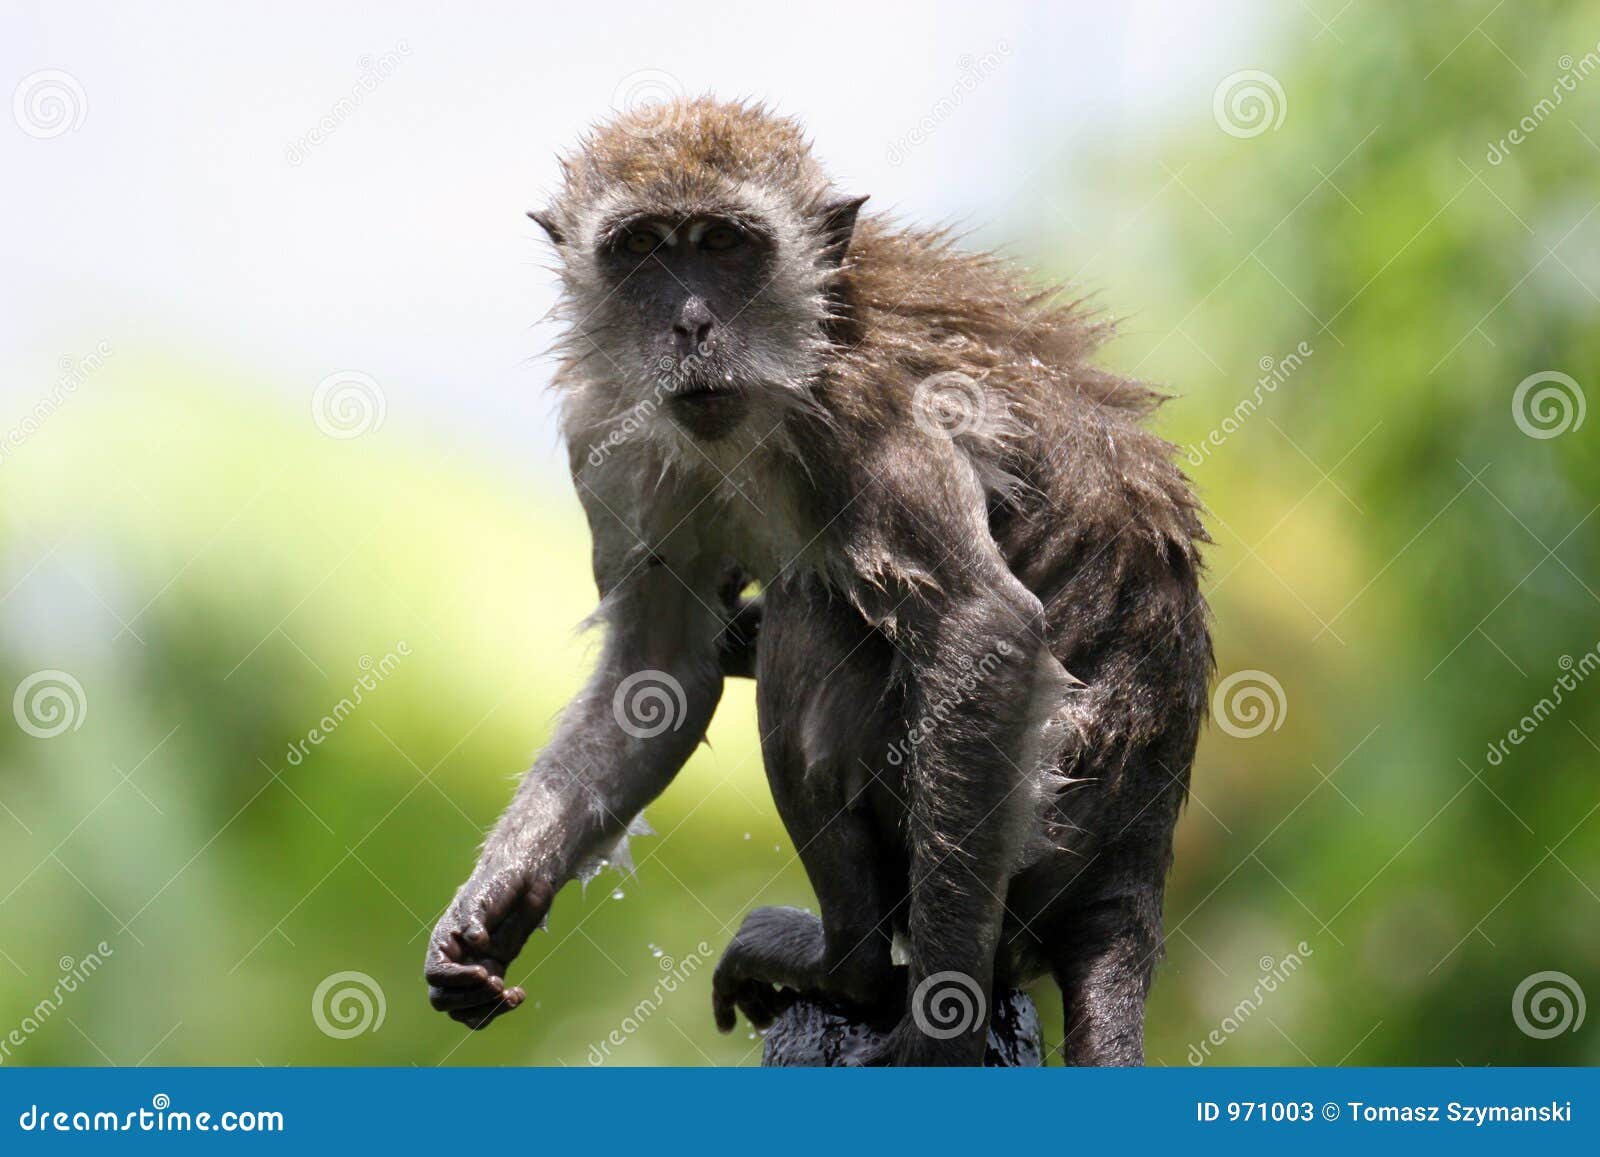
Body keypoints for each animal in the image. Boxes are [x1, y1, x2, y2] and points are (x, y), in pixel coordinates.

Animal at [423, 98, 1212, 1066]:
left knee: (816, 613)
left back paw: (851, 965)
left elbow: (981, 627)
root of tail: (1129, 880)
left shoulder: (866, 408)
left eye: (724, 244)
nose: (691, 325)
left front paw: (937, 1029)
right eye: (643, 247)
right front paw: (495, 900)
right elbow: (659, 670)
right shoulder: (606, 424)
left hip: (1031, 848)